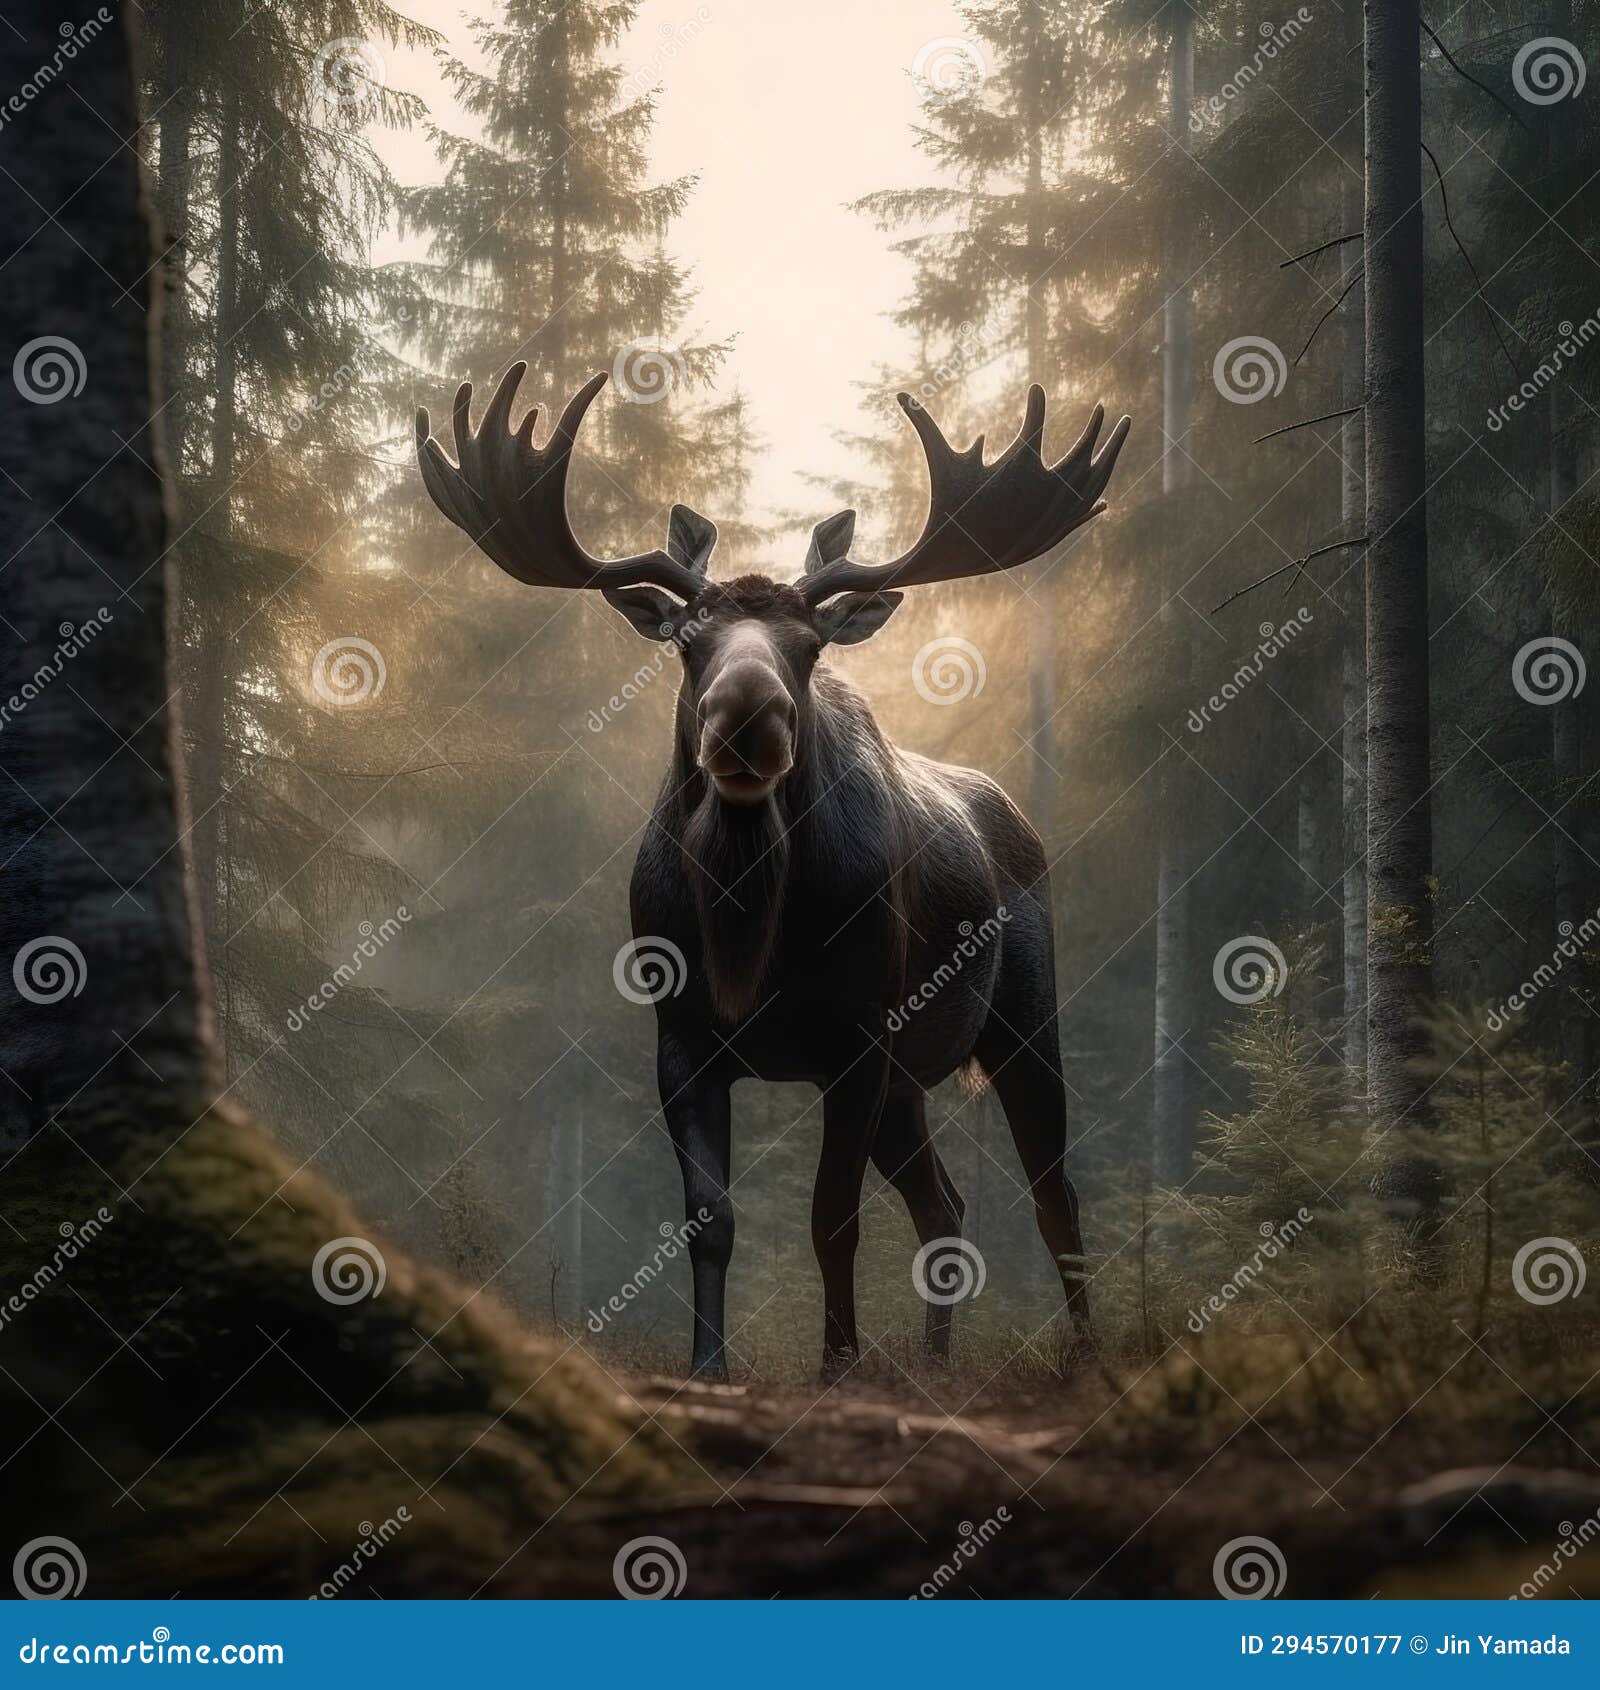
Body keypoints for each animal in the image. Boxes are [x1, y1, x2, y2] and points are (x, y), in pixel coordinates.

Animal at [416, 364, 1129, 1380]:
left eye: (810, 644)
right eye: (687, 638)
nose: (747, 718)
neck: (747, 924)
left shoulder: (858, 1039)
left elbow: (832, 1220)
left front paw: (838, 1367)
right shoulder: (683, 1041)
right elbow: (710, 1220)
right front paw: (707, 1367)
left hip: (1022, 1023)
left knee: (1054, 1195)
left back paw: (1089, 1353)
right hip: (910, 1085)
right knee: (945, 1205)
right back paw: (936, 1364)